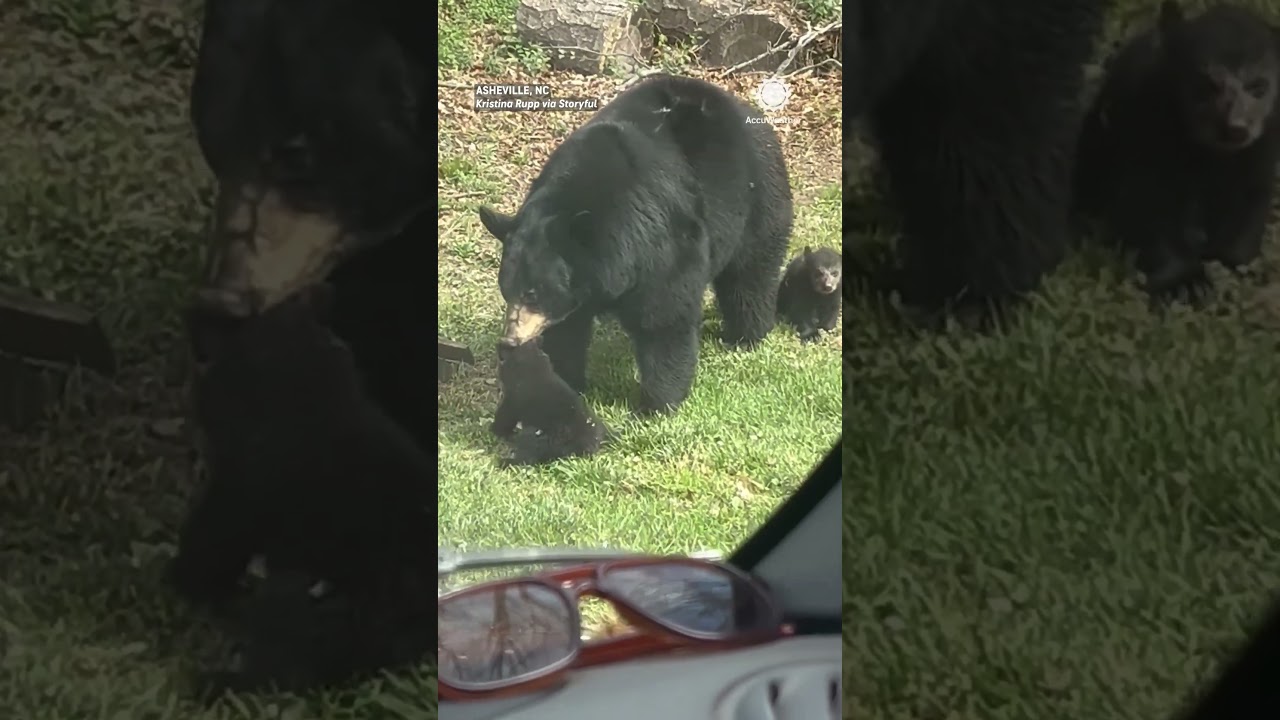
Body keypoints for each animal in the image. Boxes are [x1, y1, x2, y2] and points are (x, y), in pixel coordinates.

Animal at [477, 73, 793, 415]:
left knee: (750, 273)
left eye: (532, 293)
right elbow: (566, 329)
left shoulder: (661, 243)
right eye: (506, 290)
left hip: (757, 197)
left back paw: (747, 336)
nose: (508, 342)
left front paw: (656, 405)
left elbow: (664, 318)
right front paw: (563, 386)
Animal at [1073, 1, 1280, 305]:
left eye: (1259, 87)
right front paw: (1184, 284)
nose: (1236, 129)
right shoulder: (1146, 136)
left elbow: (1249, 210)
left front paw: (1232, 272)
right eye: (1207, 83)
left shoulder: (1261, 152)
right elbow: (1151, 207)